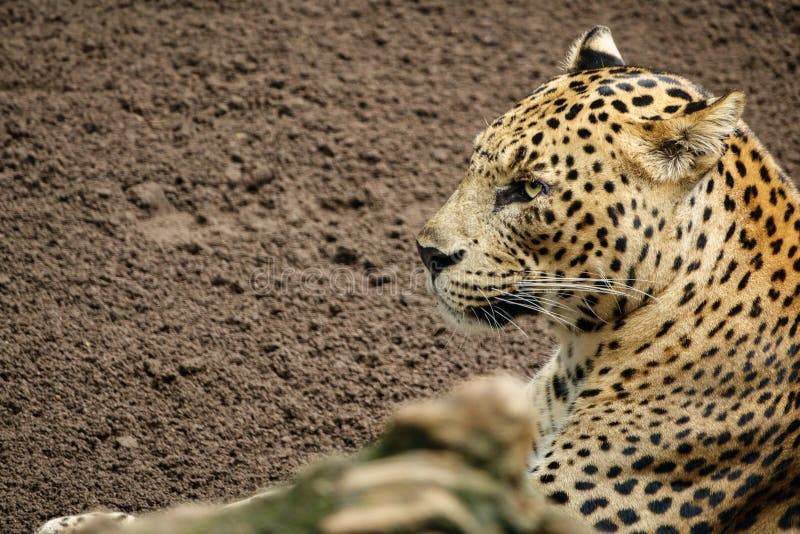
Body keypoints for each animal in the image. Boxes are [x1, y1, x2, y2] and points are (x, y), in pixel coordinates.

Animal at [38, 26, 800, 534]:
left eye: (527, 190)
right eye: (475, 161)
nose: (427, 253)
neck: (590, 345)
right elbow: (274, 499)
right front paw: (84, 520)